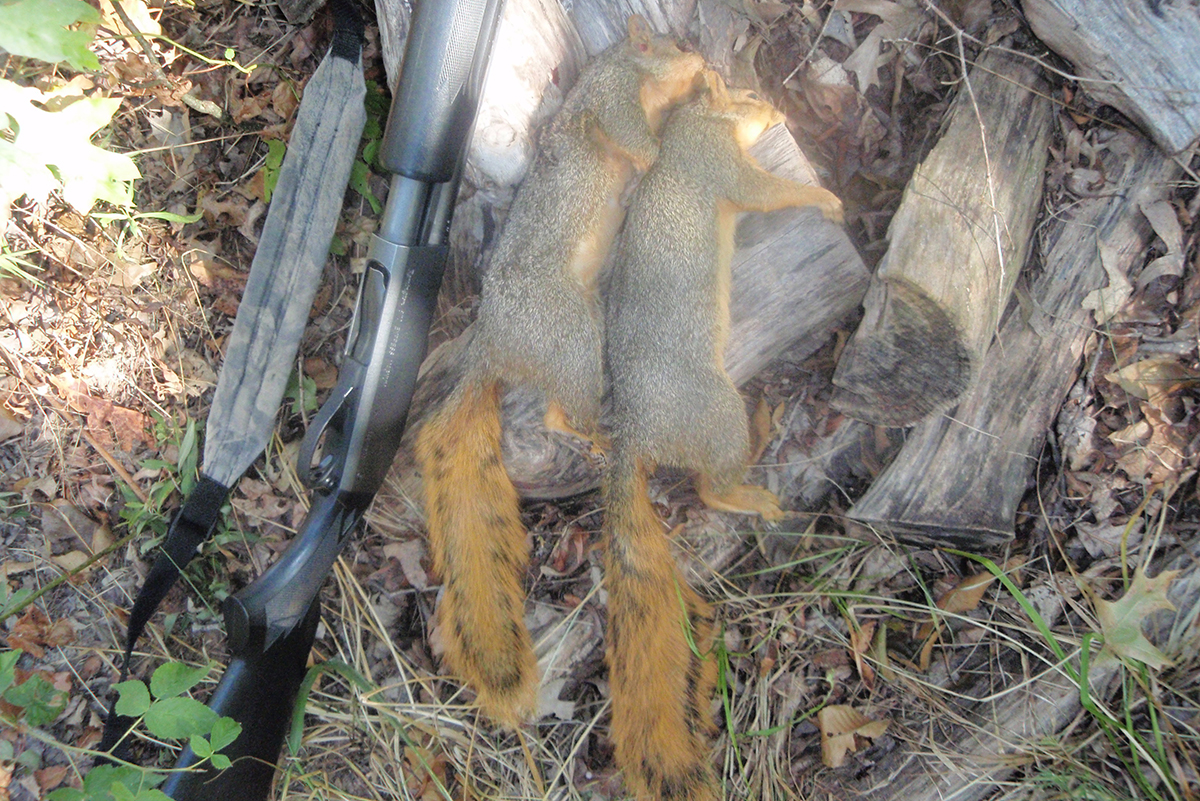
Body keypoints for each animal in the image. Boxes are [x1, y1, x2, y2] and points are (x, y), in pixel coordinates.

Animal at [413, 17, 704, 729]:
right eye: (670, 46)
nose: (703, 60)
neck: (621, 69)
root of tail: (493, 343)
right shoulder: (615, 101)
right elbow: (645, 149)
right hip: (573, 337)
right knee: (557, 409)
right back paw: (596, 435)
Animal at [601, 70, 843, 800]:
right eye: (748, 97)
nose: (781, 110)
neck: (690, 129)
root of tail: (637, 432)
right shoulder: (723, 166)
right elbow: (768, 191)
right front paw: (823, 199)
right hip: (715, 413)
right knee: (712, 488)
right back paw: (757, 474)